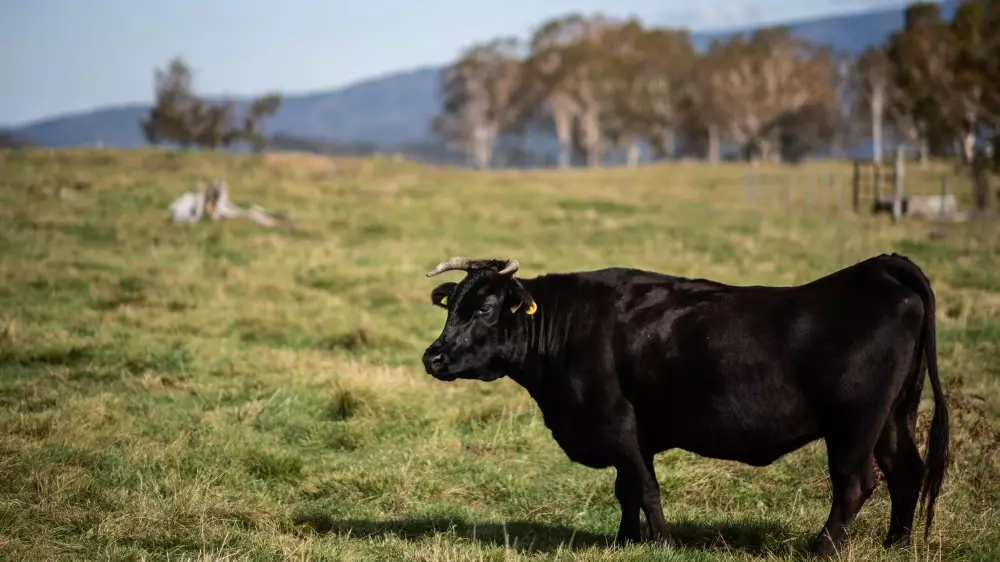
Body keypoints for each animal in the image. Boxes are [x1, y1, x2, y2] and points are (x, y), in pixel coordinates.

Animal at [420, 255, 944, 556]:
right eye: (451, 307)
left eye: (485, 308)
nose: (433, 356)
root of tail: (879, 267)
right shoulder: (635, 436)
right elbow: (627, 490)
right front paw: (624, 542)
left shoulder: (617, 424)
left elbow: (645, 489)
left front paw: (664, 544)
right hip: (896, 415)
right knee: (906, 472)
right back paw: (895, 545)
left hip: (856, 424)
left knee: (854, 484)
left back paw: (821, 549)